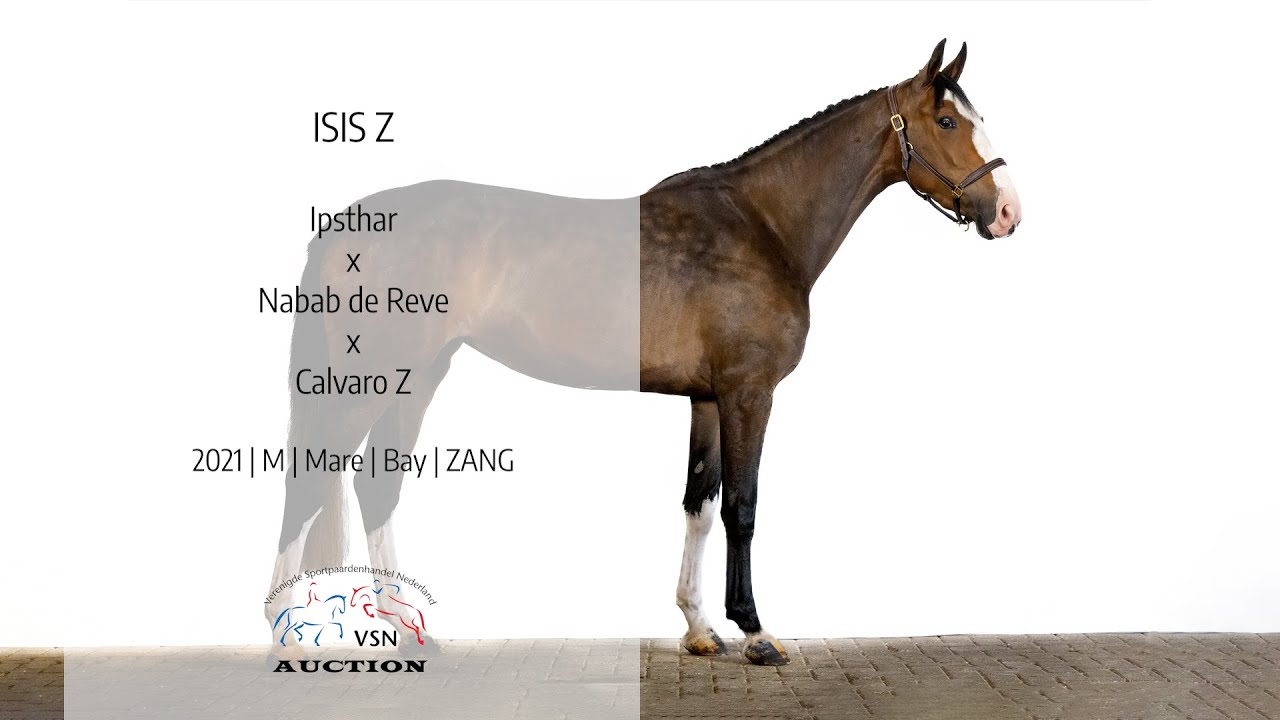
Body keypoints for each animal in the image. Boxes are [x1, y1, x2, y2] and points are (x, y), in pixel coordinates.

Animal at [265, 39, 1021, 666]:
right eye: (947, 122)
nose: (1008, 211)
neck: (763, 223)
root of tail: (347, 224)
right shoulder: (749, 392)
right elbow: (742, 507)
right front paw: (756, 632)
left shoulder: (707, 398)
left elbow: (698, 503)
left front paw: (700, 629)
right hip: (374, 378)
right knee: (315, 479)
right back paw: (287, 634)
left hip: (416, 376)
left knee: (374, 485)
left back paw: (406, 629)